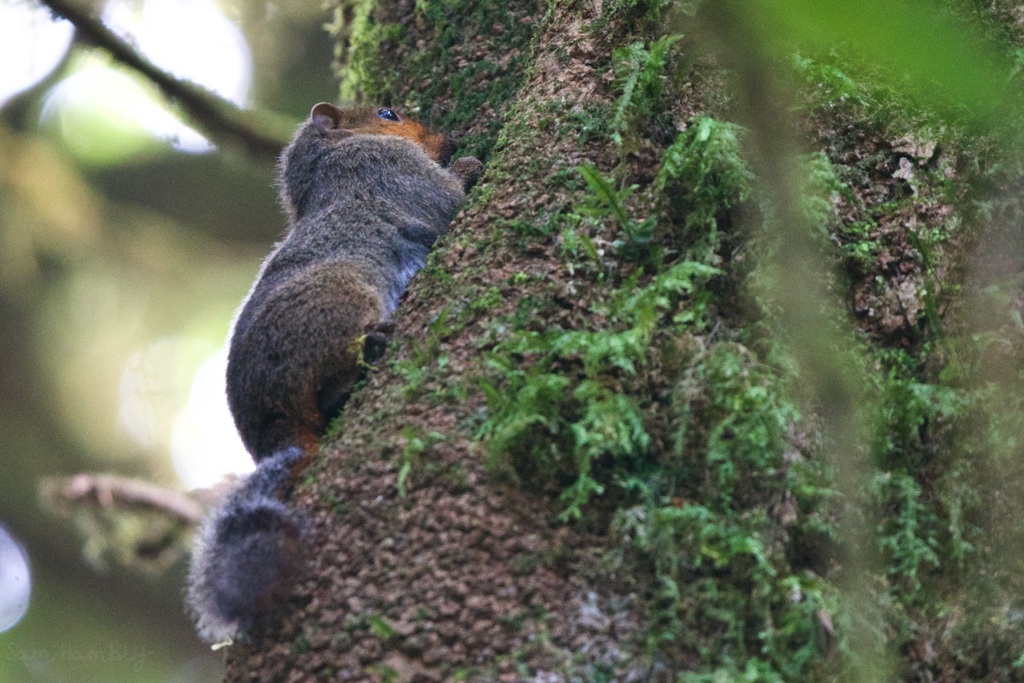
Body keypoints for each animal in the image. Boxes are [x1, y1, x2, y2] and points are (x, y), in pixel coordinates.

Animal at [187, 102, 483, 644]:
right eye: (387, 113)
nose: (446, 137)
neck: (327, 157)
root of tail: (272, 424)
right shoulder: (384, 165)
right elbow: (447, 196)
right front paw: (467, 164)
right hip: (344, 302)